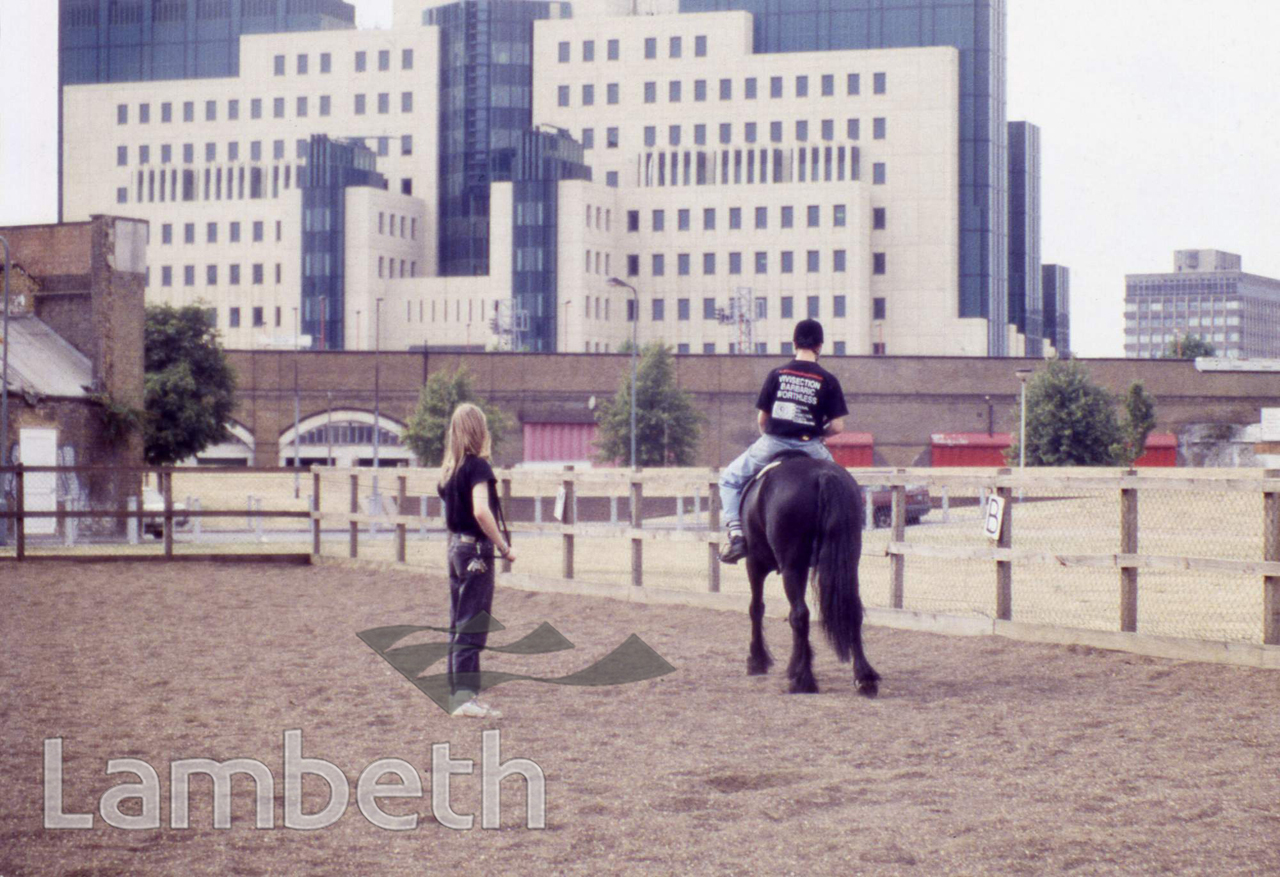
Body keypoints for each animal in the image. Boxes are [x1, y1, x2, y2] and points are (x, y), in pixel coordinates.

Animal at [742, 455, 880, 696]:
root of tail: (823, 475)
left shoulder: (755, 563)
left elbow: (756, 608)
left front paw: (757, 660)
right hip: (848, 562)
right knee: (852, 611)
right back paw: (864, 677)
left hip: (791, 566)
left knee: (799, 614)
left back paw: (802, 679)